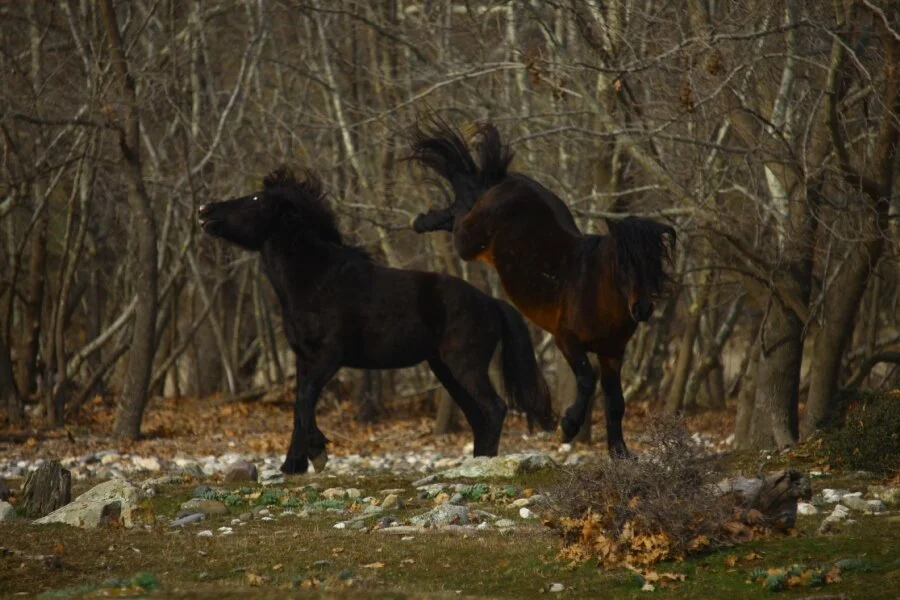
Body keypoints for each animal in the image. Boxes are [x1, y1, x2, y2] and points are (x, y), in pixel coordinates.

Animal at [197, 166, 555, 474]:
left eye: (256, 199)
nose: (205, 210)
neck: (316, 280)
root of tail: (491, 302)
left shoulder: (328, 357)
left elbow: (305, 399)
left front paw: (317, 453)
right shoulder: (303, 359)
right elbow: (300, 406)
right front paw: (293, 464)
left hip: (464, 365)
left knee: (494, 408)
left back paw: (483, 466)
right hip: (445, 369)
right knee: (479, 417)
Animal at [407, 118, 676, 458]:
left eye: (655, 264)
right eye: (624, 263)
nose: (642, 309)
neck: (596, 291)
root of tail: (506, 184)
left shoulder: (613, 352)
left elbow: (616, 403)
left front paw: (620, 452)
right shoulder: (567, 340)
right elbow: (587, 380)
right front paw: (567, 426)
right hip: (468, 242)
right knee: (458, 213)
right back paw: (422, 221)